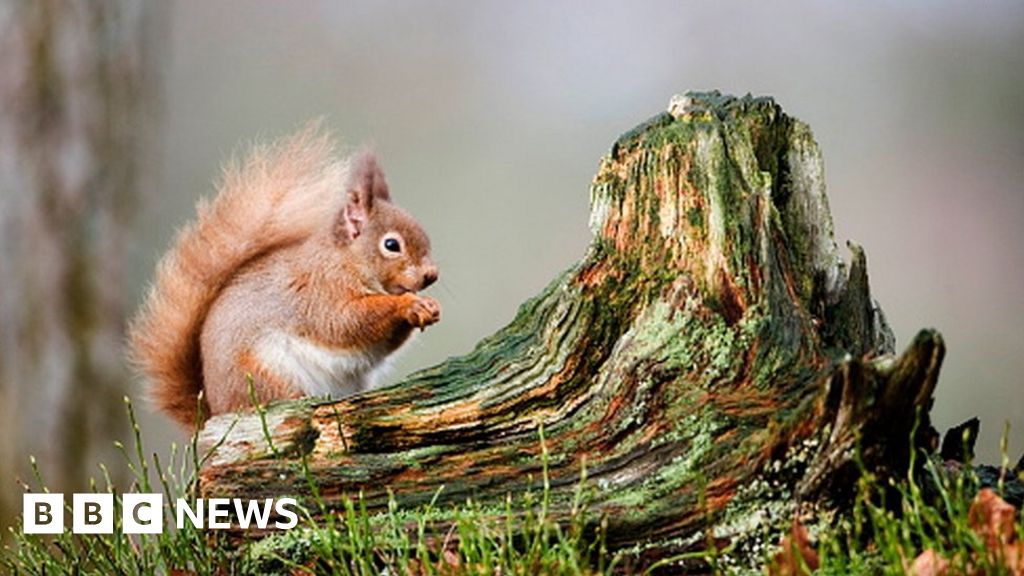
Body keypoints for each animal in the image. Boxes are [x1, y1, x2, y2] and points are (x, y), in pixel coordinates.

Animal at [128, 126, 440, 428]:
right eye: (391, 245)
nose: (431, 275)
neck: (346, 261)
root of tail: (215, 412)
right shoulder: (320, 292)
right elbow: (347, 322)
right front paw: (407, 305)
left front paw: (429, 306)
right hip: (266, 376)